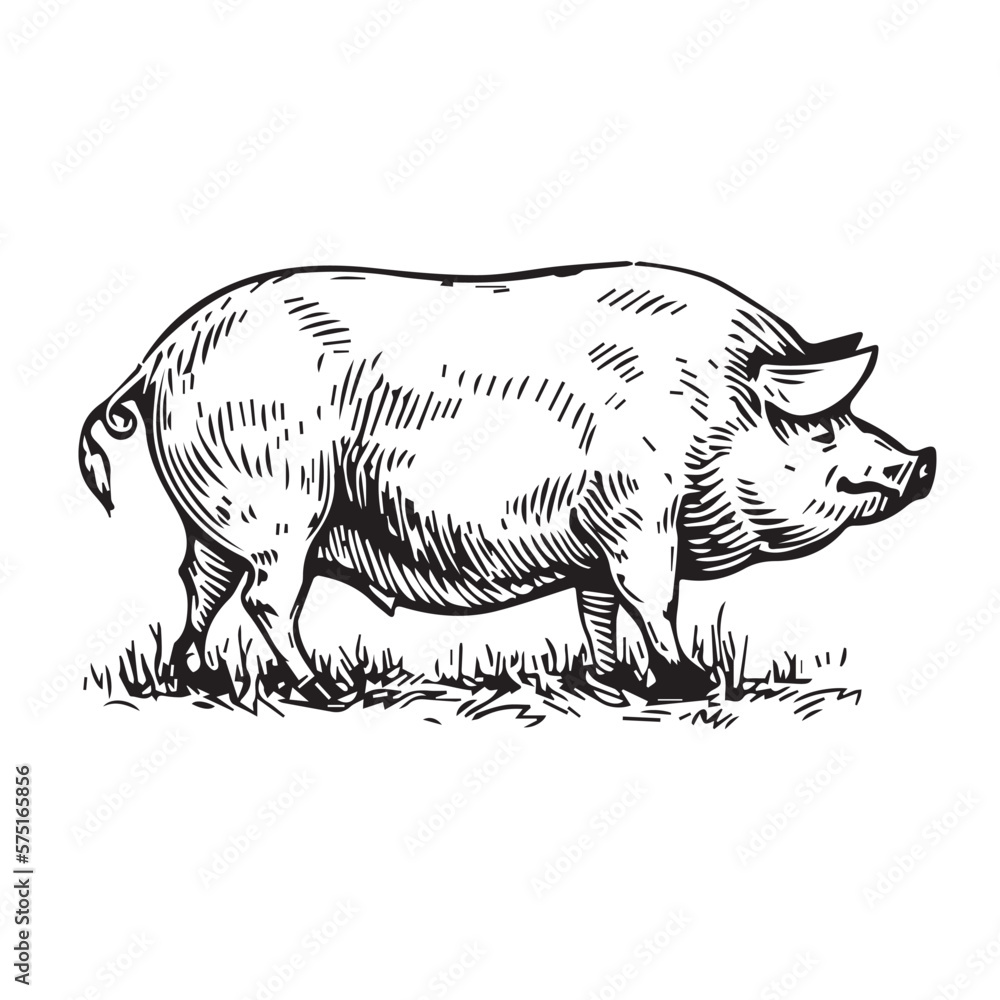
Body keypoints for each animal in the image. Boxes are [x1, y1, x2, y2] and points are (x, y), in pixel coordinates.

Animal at [79, 261, 935, 705]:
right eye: (823, 424)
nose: (922, 460)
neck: (712, 417)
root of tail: (158, 358)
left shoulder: (594, 537)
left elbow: (599, 609)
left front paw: (608, 679)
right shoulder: (640, 517)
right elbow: (654, 599)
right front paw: (688, 685)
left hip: (218, 515)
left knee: (200, 584)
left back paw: (190, 675)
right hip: (279, 507)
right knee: (265, 598)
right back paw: (330, 688)